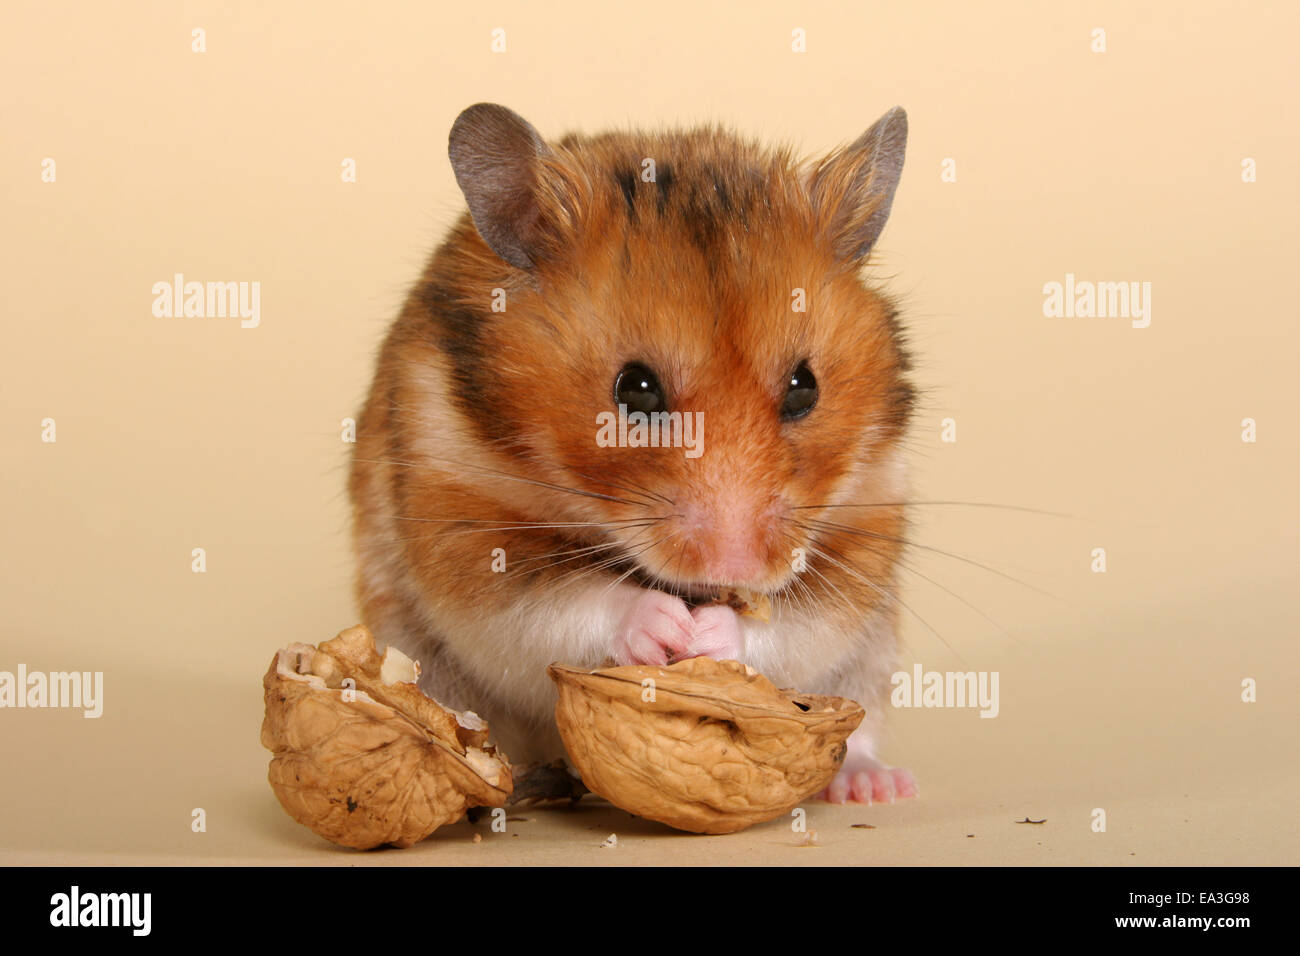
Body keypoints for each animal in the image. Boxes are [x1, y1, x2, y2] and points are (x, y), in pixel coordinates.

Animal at [349, 103, 917, 804]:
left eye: (804, 387)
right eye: (635, 389)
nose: (735, 565)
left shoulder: (865, 531)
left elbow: (794, 623)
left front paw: (707, 632)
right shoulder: (461, 526)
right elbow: (564, 603)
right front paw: (667, 627)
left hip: (875, 654)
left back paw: (875, 787)